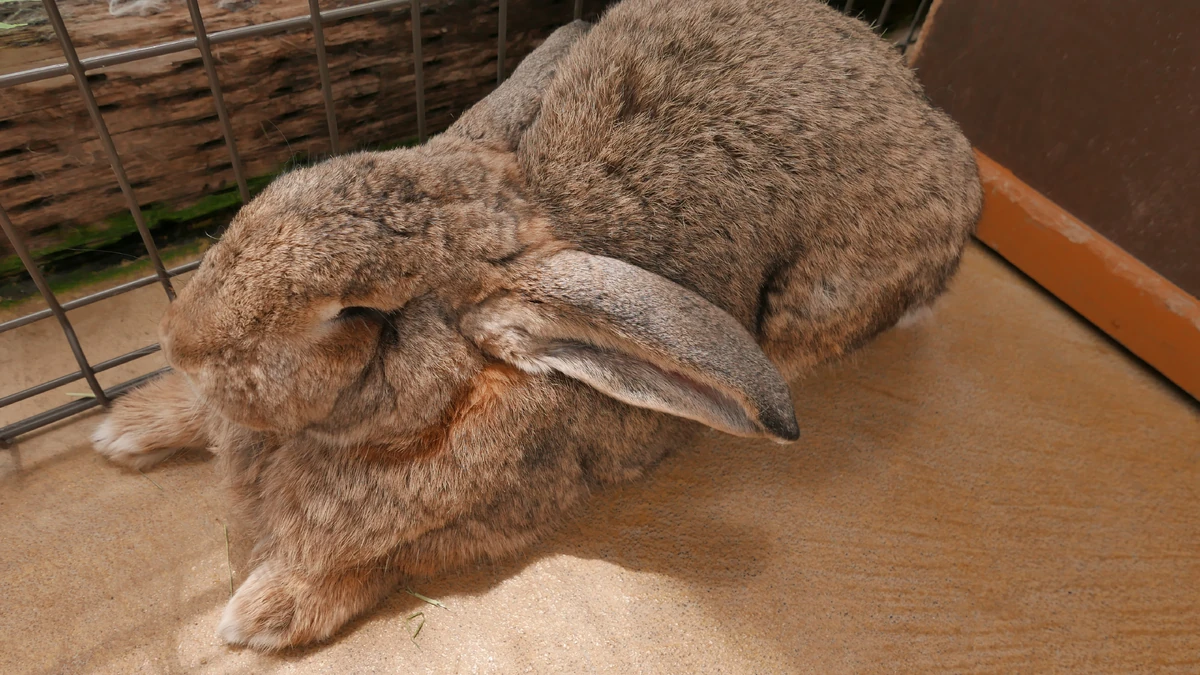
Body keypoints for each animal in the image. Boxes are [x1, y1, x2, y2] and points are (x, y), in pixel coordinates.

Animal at [90, 0, 982, 651]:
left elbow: (375, 563)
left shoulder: (483, 521)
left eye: (361, 314)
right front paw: (123, 429)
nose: (179, 337)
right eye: (293, 179)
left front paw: (260, 615)